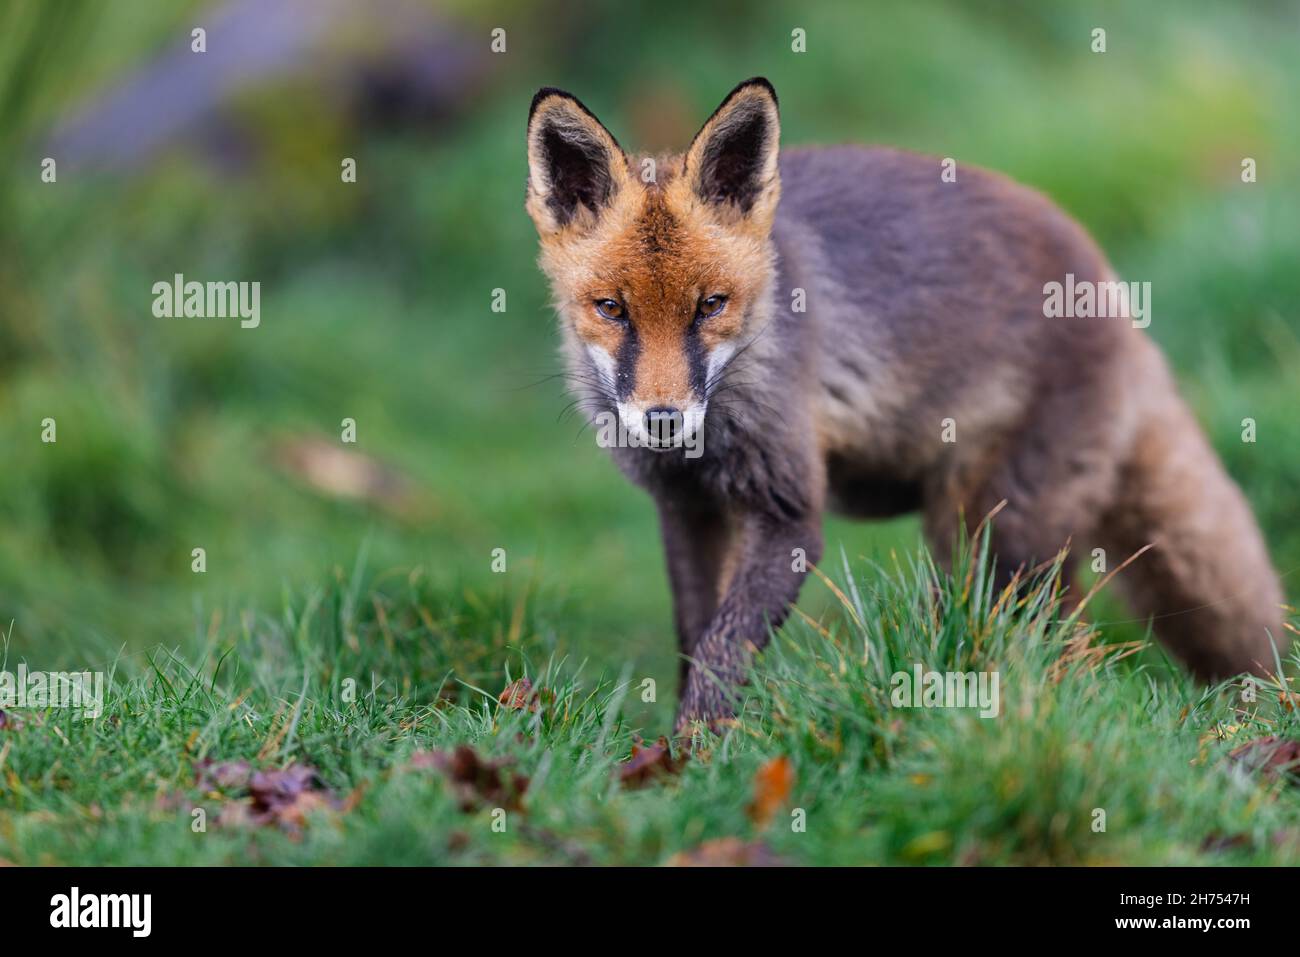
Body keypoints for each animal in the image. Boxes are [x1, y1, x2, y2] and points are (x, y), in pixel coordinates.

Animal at [523, 77, 1287, 730]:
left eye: (711, 306)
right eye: (611, 309)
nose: (664, 421)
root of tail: (1113, 290)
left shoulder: (788, 513)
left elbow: (721, 650)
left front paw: (692, 759)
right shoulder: (686, 509)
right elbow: (693, 639)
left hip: (992, 541)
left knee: (1057, 644)